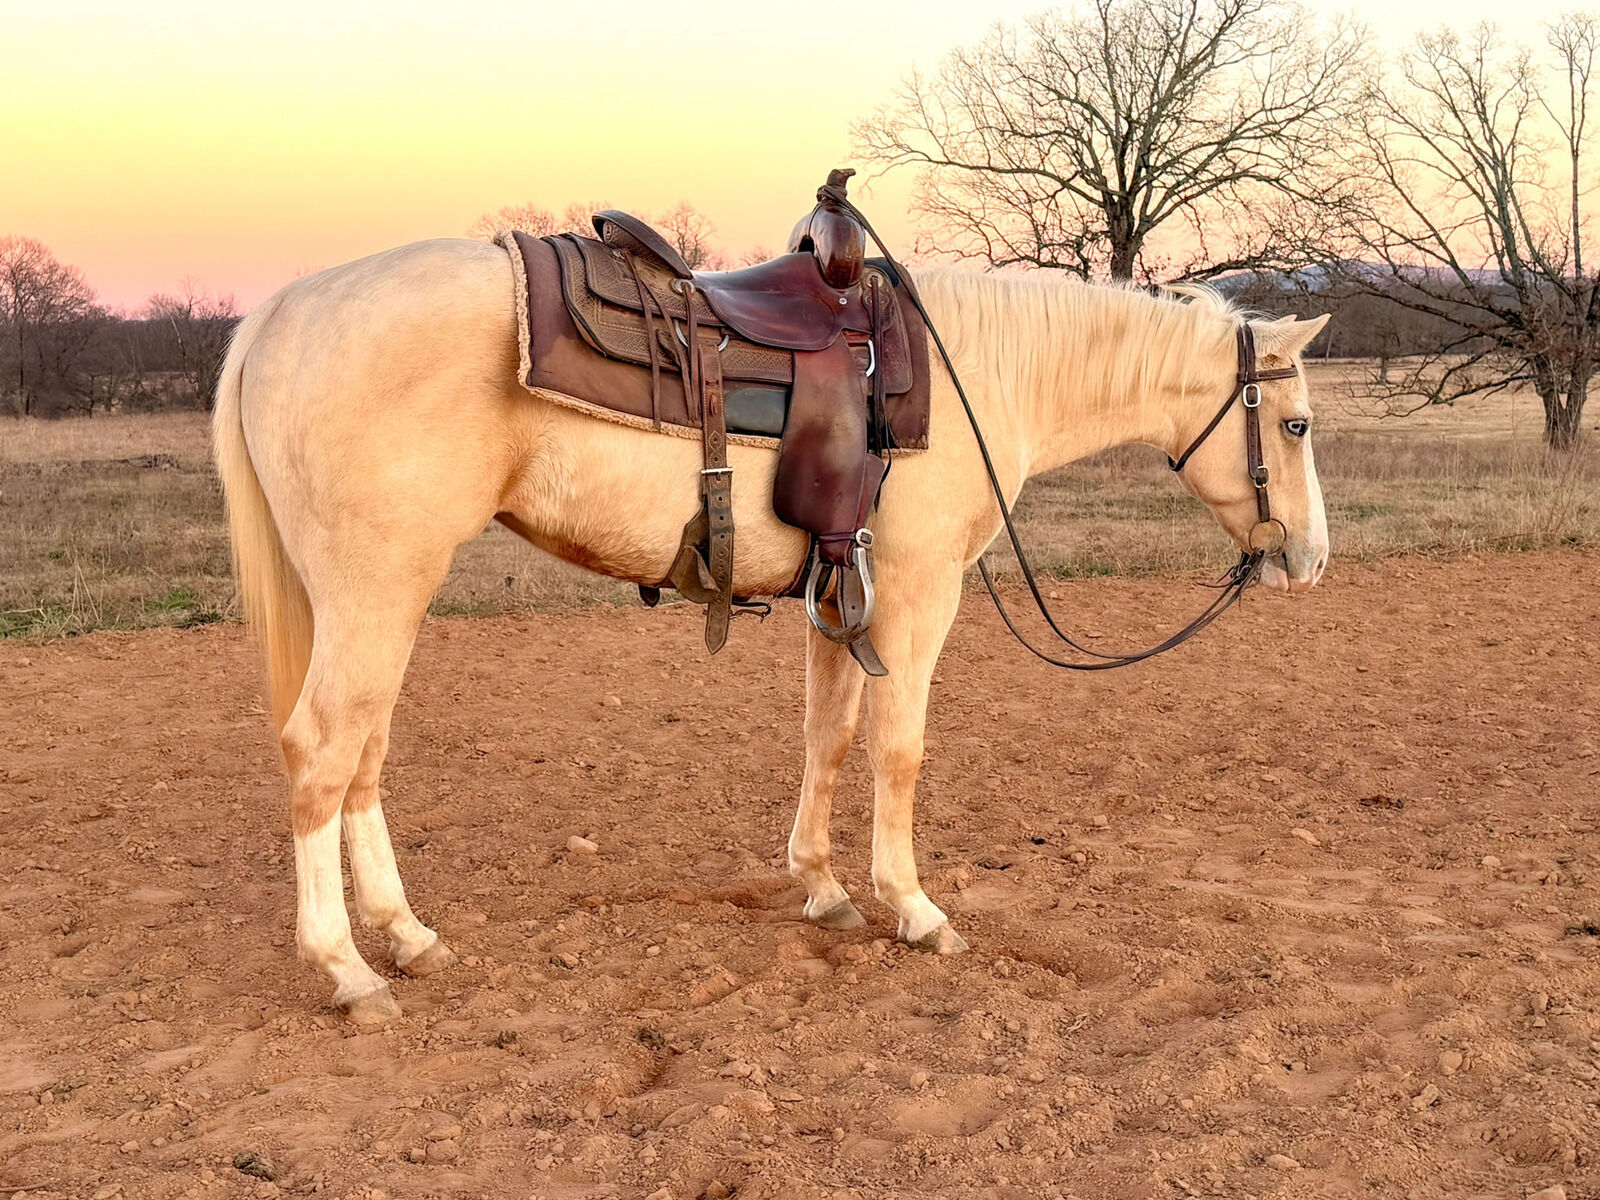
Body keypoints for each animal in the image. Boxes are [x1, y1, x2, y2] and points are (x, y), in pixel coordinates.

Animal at [213, 236, 1330, 1023]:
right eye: (1297, 424)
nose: (1312, 558)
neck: (973, 378)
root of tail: (280, 311)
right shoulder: (918, 593)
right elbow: (897, 749)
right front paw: (913, 907)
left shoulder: (840, 593)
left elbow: (827, 737)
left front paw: (824, 887)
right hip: (376, 592)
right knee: (323, 752)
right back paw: (348, 969)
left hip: (375, 601)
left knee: (362, 757)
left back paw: (406, 936)